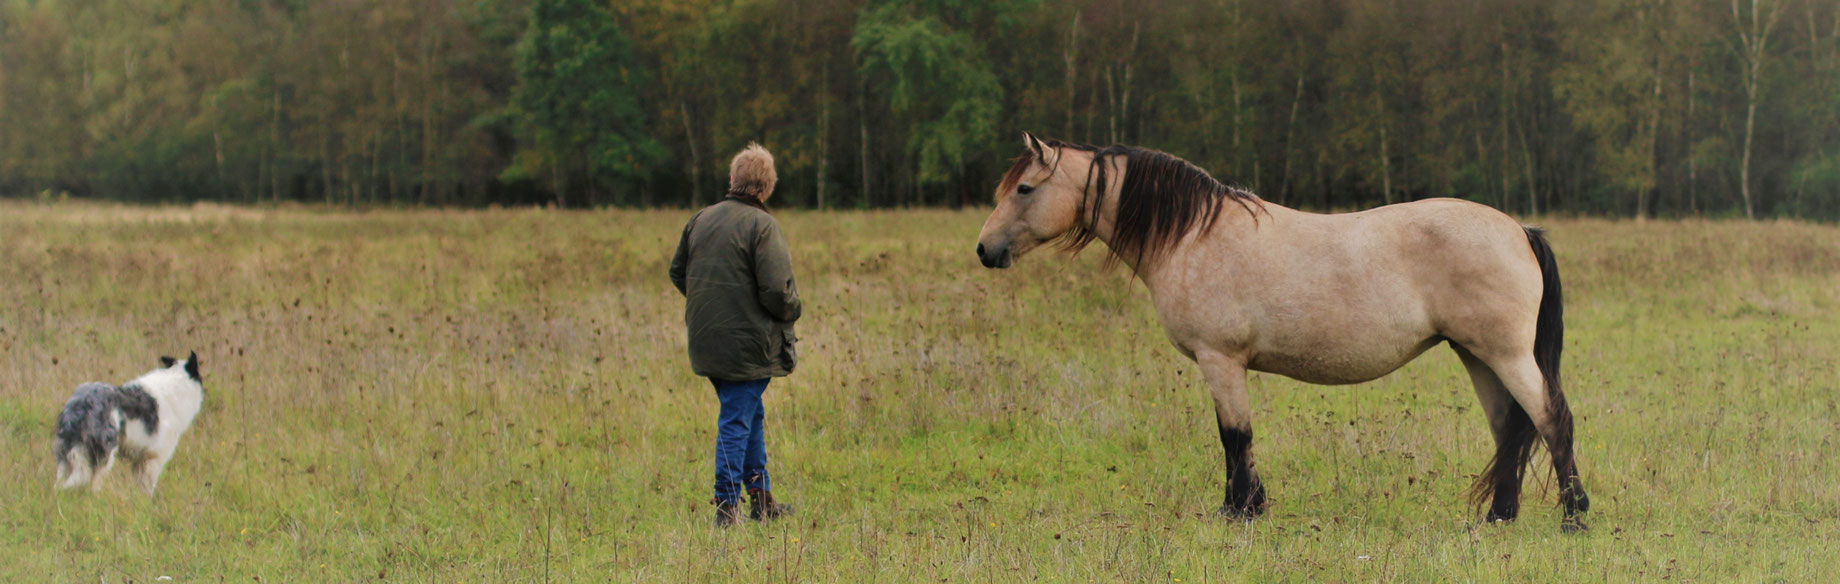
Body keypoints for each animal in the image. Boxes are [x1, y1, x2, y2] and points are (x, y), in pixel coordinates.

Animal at [975, 133, 1590, 532]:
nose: (985, 249)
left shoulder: (1220, 360)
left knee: (1550, 419)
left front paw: (1238, 512)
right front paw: (1247, 507)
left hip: (1506, 354)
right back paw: (1497, 519)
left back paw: (1574, 517)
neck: (1193, 236)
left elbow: (1234, 436)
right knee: (1509, 430)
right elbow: (1234, 438)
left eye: (1024, 188)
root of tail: (1519, 229)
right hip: (1478, 355)